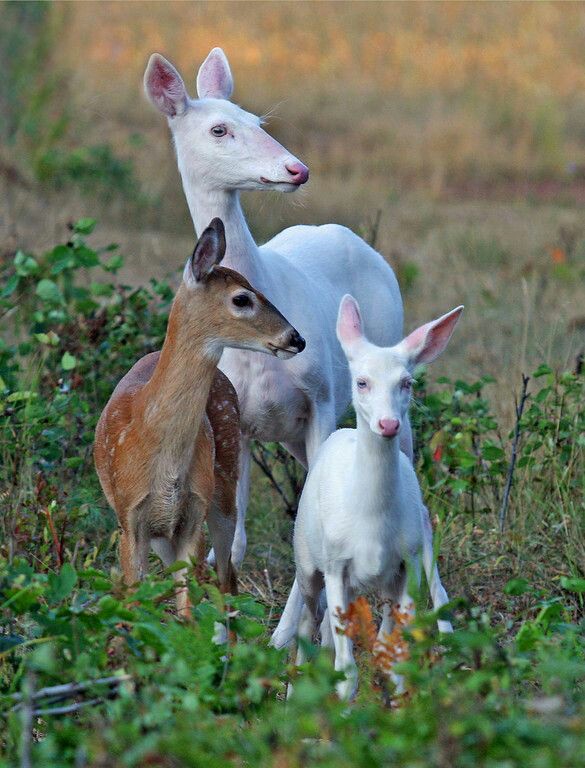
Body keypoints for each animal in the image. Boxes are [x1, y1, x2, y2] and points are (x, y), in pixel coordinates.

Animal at [94, 218, 305, 615]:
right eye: (242, 298)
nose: (296, 339)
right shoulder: (130, 520)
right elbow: (137, 606)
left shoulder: (192, 516)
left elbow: (189, 611)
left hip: (223, 490)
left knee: (227, 579)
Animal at [143, 47, 411, 569]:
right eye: (219, 129)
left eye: (258, 119)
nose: (296, 169)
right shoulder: (237, 421)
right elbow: (234, 540)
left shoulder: (322, 397)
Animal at [272, 296, 462, 699]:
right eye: (361, 382)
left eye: (406, 382)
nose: (388, 424)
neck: (372, 522)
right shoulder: (335, 563)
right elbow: (346, 667)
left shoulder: (408, 561)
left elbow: (394, 654)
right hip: (307, 559)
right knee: (308, 627)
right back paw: (294, 695)